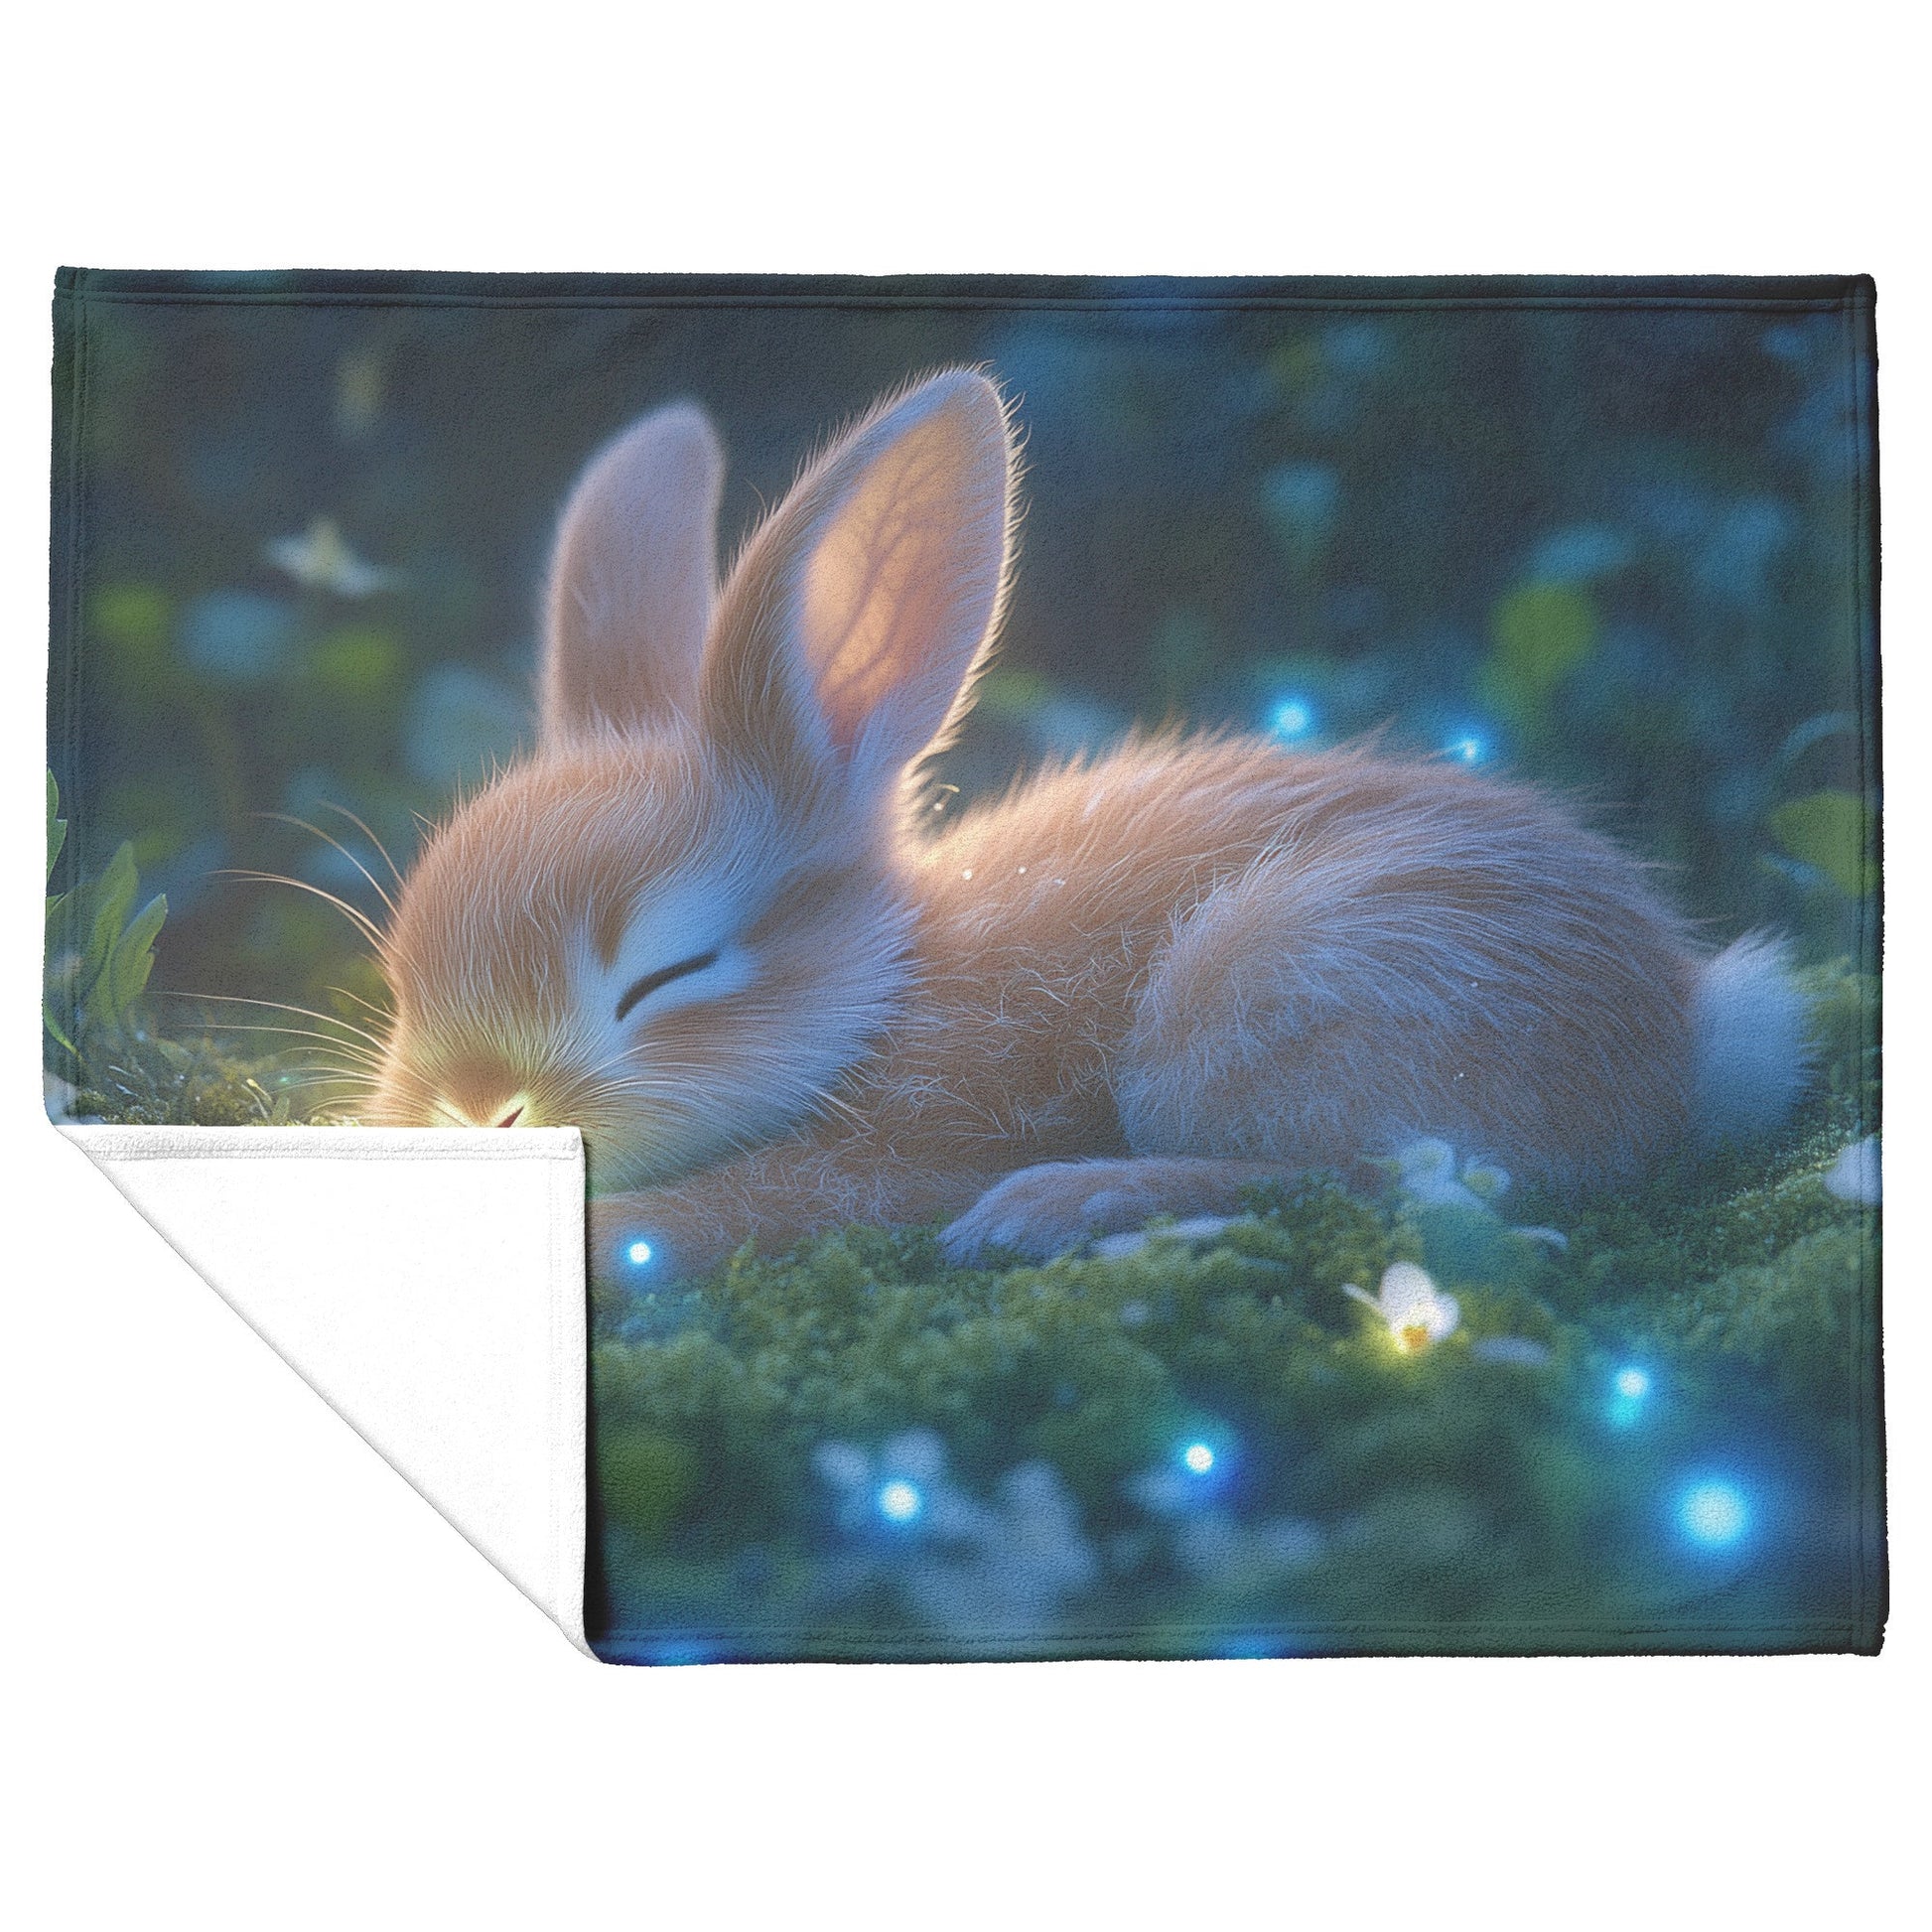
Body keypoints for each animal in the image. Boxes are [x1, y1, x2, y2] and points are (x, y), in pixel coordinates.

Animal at [365, 368, 1810, 1279]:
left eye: (668, 973)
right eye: (397, 975)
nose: (472, 1107)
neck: (887, 994)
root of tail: (1689, 1031)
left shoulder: (908, 1137)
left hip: (1264, 998)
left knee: (1432, 1184)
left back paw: (1063, 1208)